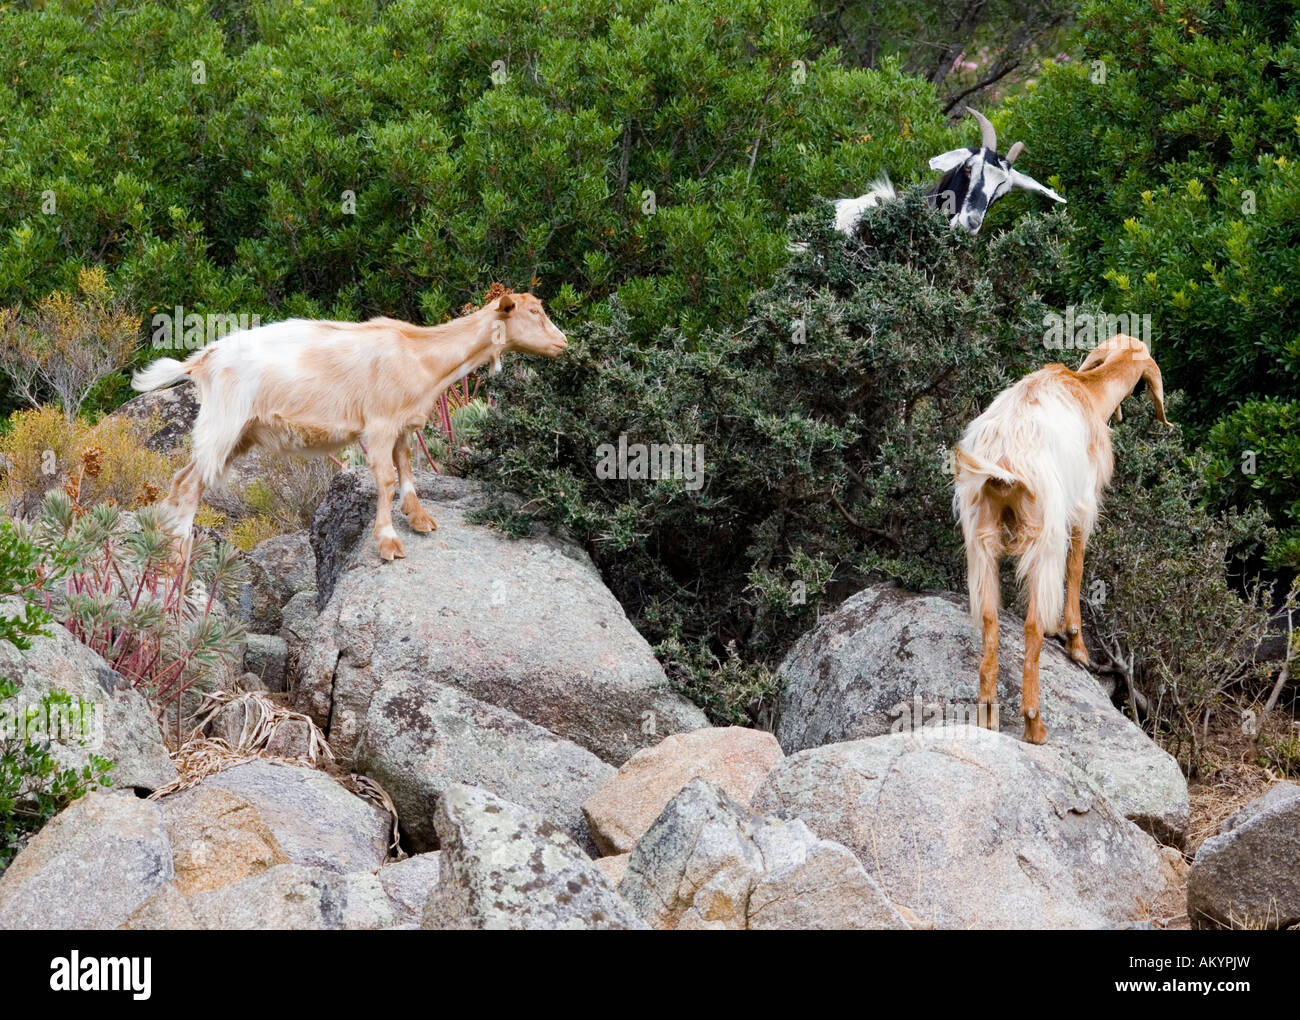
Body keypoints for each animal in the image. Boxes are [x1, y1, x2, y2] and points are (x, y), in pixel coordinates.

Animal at [132, 292, 568, 562]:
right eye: (533, 314)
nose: (563, 343)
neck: (420, 354)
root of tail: (203, 359)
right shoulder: (379, 425)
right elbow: (386, 478)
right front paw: (388, 540)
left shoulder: (401, 425)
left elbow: (407, 466)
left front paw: (419, 517)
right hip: (224, 424)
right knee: (191, 485)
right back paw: (178, 556)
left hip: (238, 434)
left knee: (182, 479)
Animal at [952, 335, 1170, 743]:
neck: (1088, 392)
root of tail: (1004, 464)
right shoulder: (1083, 503)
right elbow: (1078, 566)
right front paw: (1076, 645)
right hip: (1045, 536)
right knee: (1032, 624)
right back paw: (1034, 724)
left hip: (980, 537)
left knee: (989, 617)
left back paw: (987, 715)